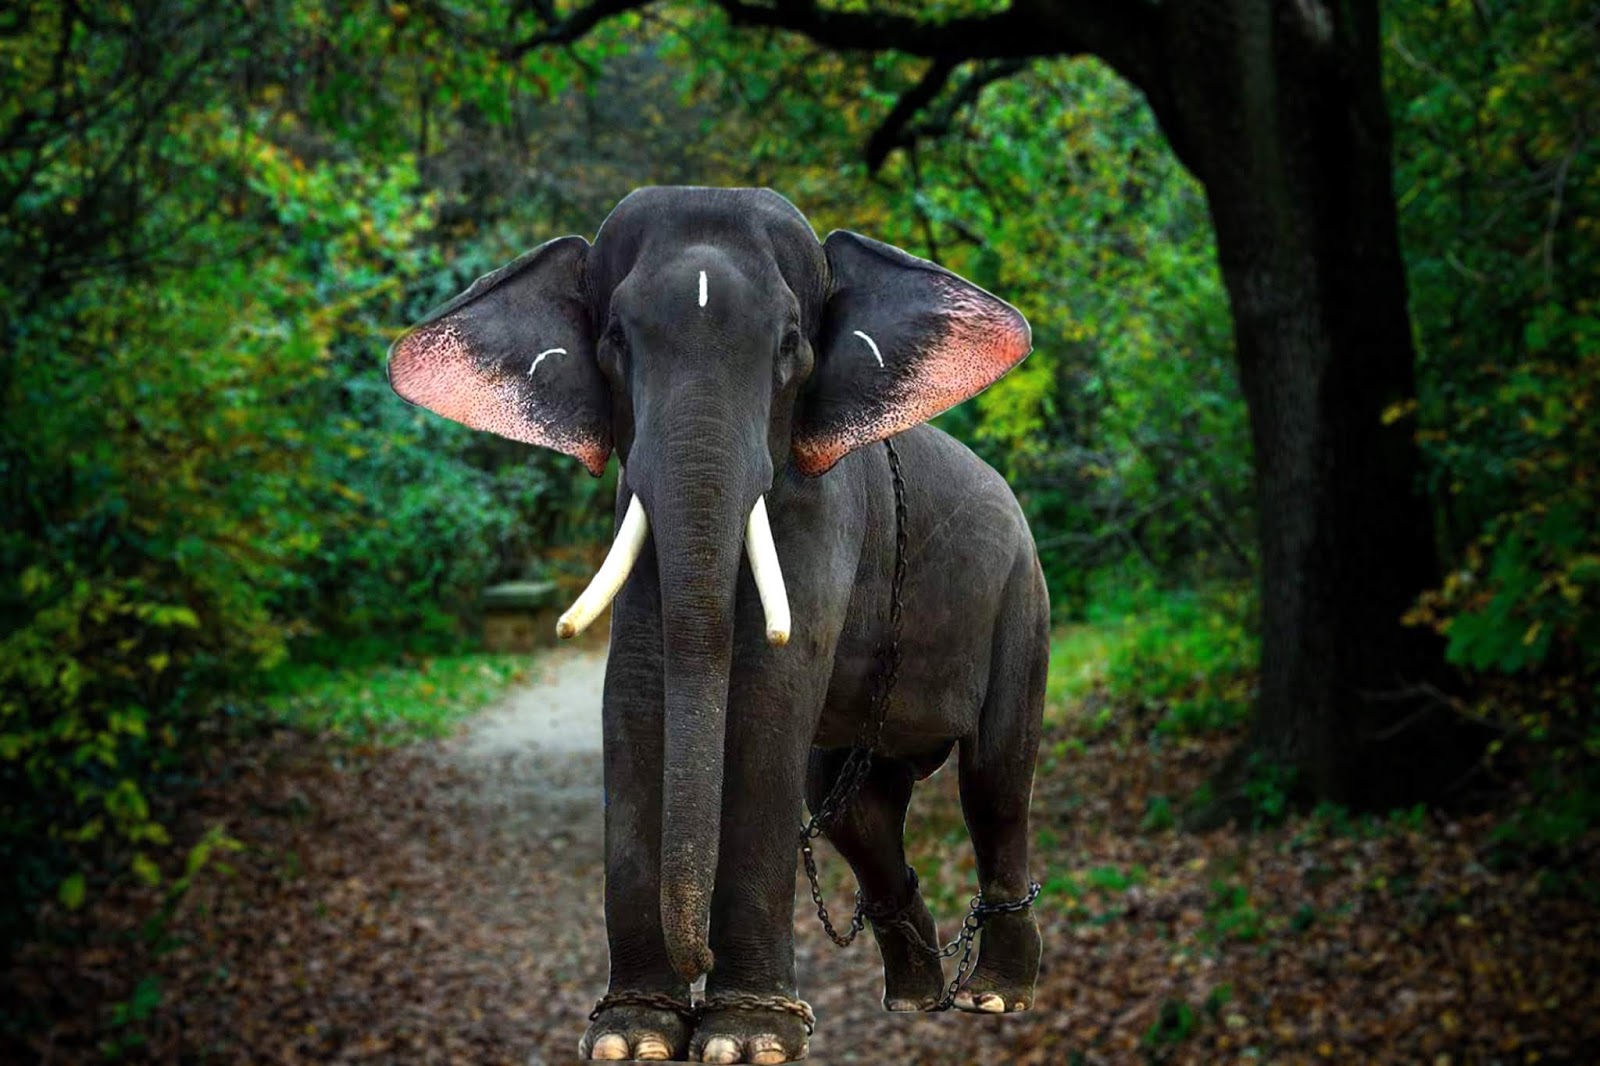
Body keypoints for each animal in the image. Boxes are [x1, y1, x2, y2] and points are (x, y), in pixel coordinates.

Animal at [387, 186, 1049, 1064]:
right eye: (614, 341)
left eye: (792, 346)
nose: (694, 959)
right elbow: (635, 690)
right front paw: (634, 1036)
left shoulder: (824, 507)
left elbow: (770, 697)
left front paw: (745, 1038)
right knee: (856, 807)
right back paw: (913, 996)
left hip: (1022, 601)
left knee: (995, 778)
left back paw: (993, 997)